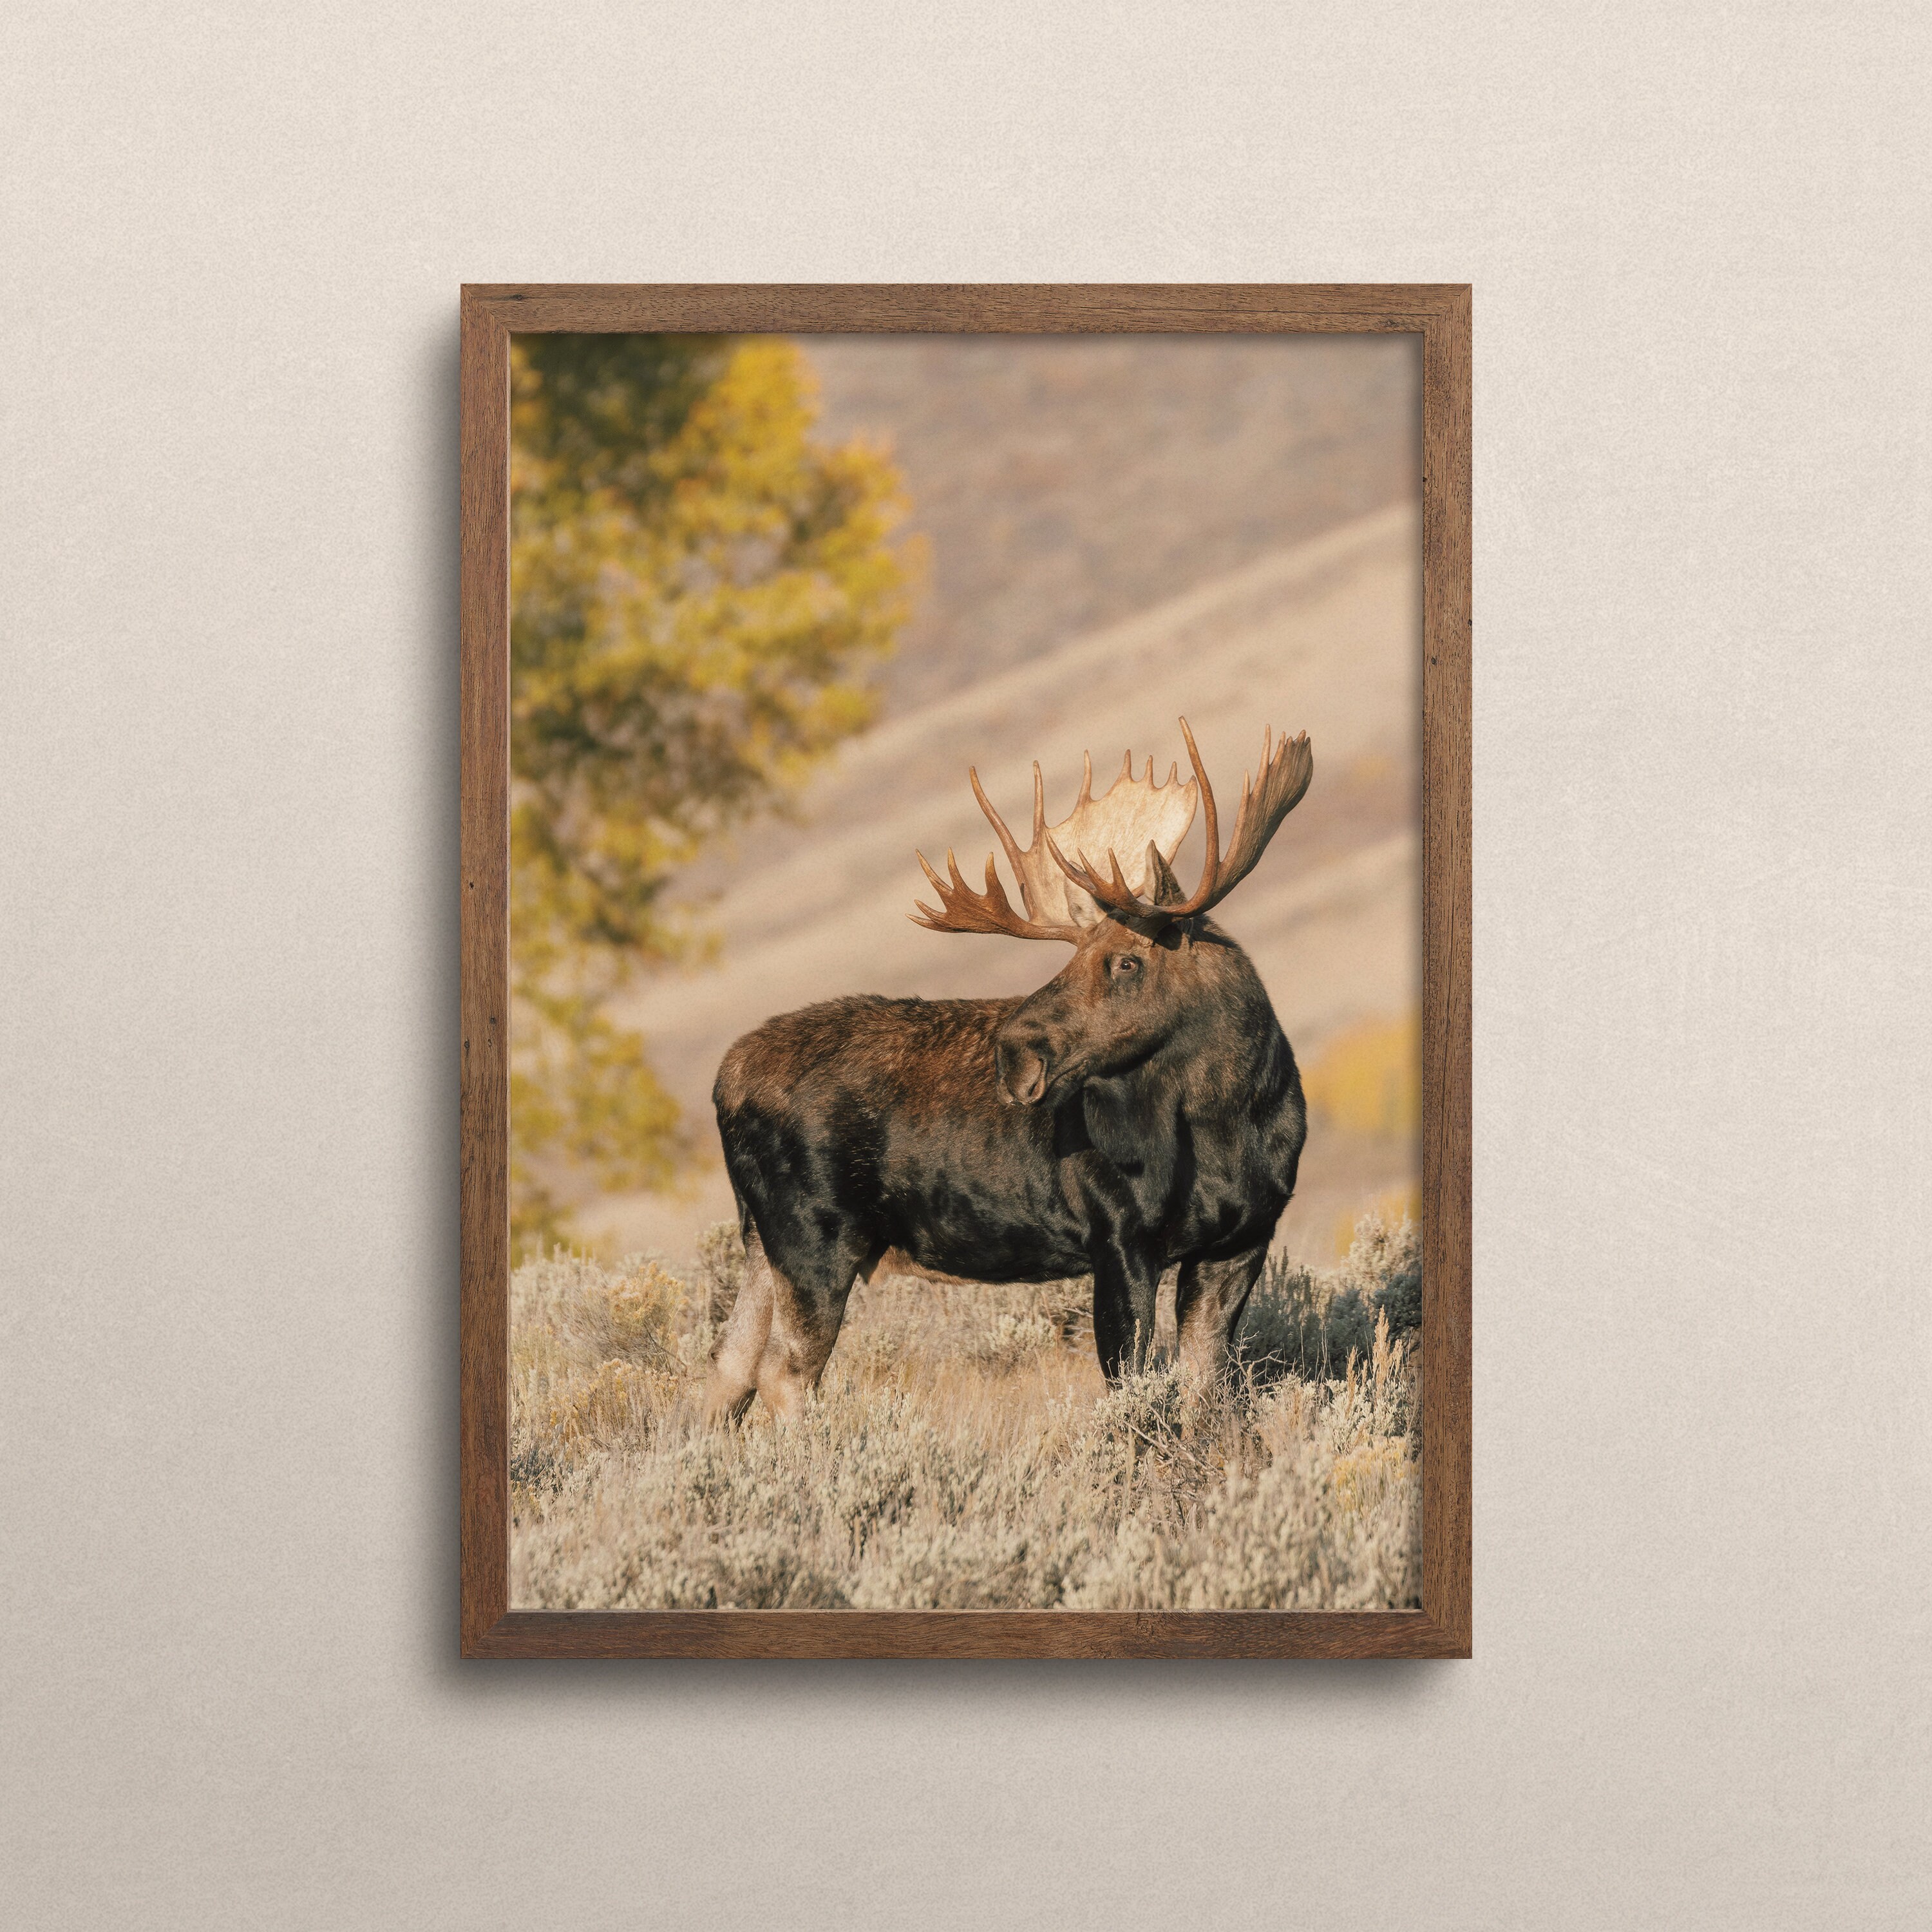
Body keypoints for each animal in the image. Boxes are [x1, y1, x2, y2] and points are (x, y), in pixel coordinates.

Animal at [703, 718, 1314, 1422]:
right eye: (1076, 959)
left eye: (1127, 961)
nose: (1014, 1049)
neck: (1232, 1121)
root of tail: (724, 1081)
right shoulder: (1118, 1236)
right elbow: (1132, 1395)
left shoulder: (1244, 1238)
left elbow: (1208, 1392)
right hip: (814, 1237)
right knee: (785, 1374)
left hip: (762, 1242)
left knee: (727, 1371)